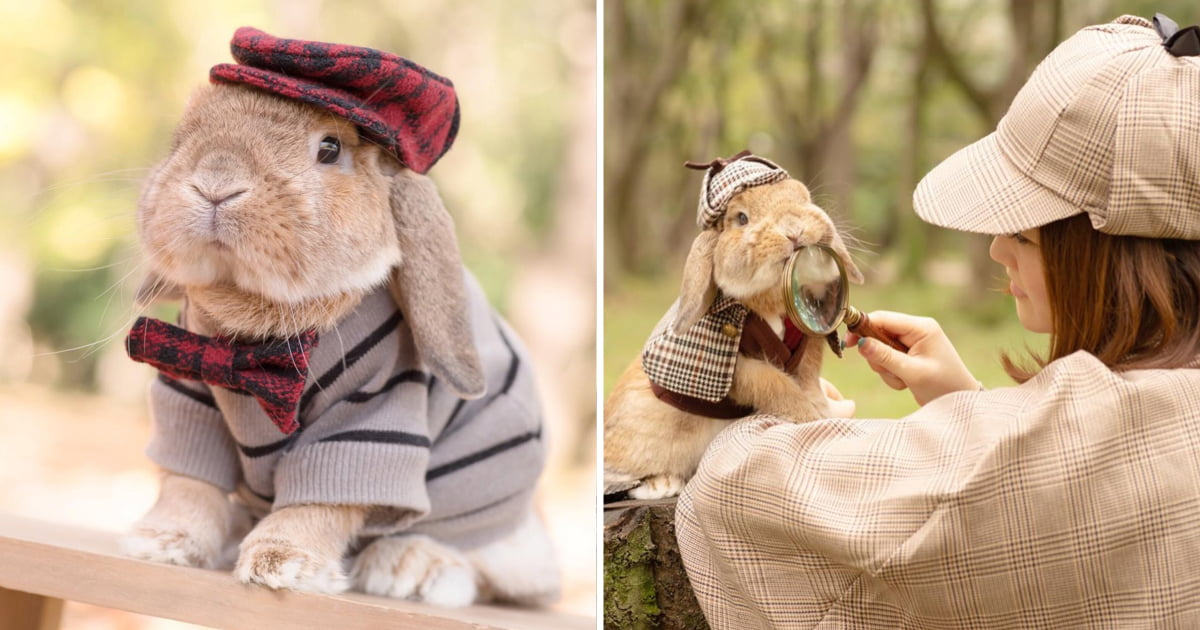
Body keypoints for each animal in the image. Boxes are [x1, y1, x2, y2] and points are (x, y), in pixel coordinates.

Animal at [118, 80, 560, 608]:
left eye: (330, 149)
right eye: (182, 135)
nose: (216, 183)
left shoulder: (369, 416)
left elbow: (324, 498)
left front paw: (282, 565)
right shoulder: (188, 395)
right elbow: (190, 480)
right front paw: (161, 542)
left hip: (483, 487)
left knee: (492, 564)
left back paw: (409, 569)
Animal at [604, 173, 863, 501]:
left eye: (804, 198)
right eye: (741, 218)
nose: (794, 230)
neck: (772, 301)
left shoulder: (806, 352)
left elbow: (808, 384)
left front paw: (825, 414)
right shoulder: (736, 367)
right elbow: (778, 386)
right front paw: (812, 420)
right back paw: (662, 483)